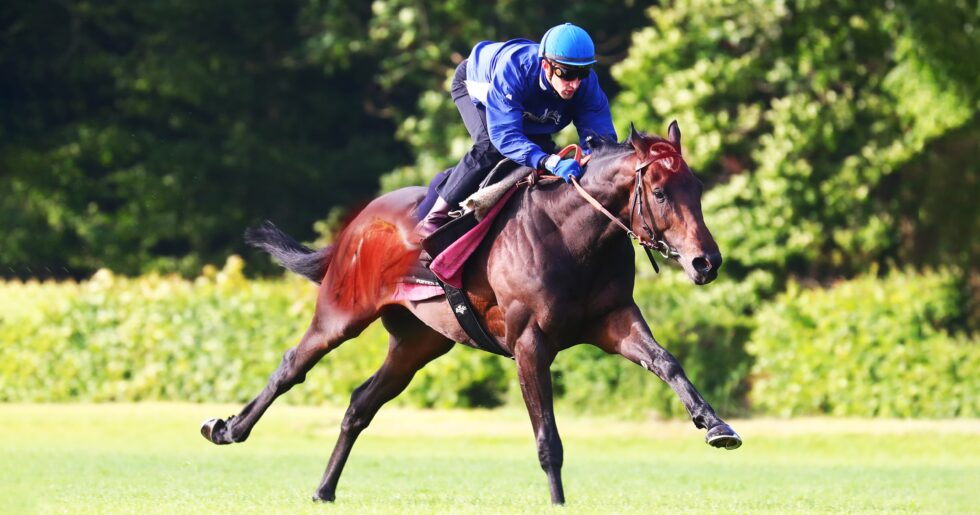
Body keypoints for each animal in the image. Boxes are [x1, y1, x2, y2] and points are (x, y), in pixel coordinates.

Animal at [200, 121, 742, 505]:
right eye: (660, 192)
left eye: (696, 188)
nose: (706, 262)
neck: (572, 235)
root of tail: (357, 224)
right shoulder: (529, 343)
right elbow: (548, 437)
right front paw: (558, 502)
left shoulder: (613, 321)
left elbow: (667, 362)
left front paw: (716, 426)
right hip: (341, 314)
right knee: (292, 365)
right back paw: (227, 429)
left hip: (419, 342)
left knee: (360, 404)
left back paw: (324, 489)